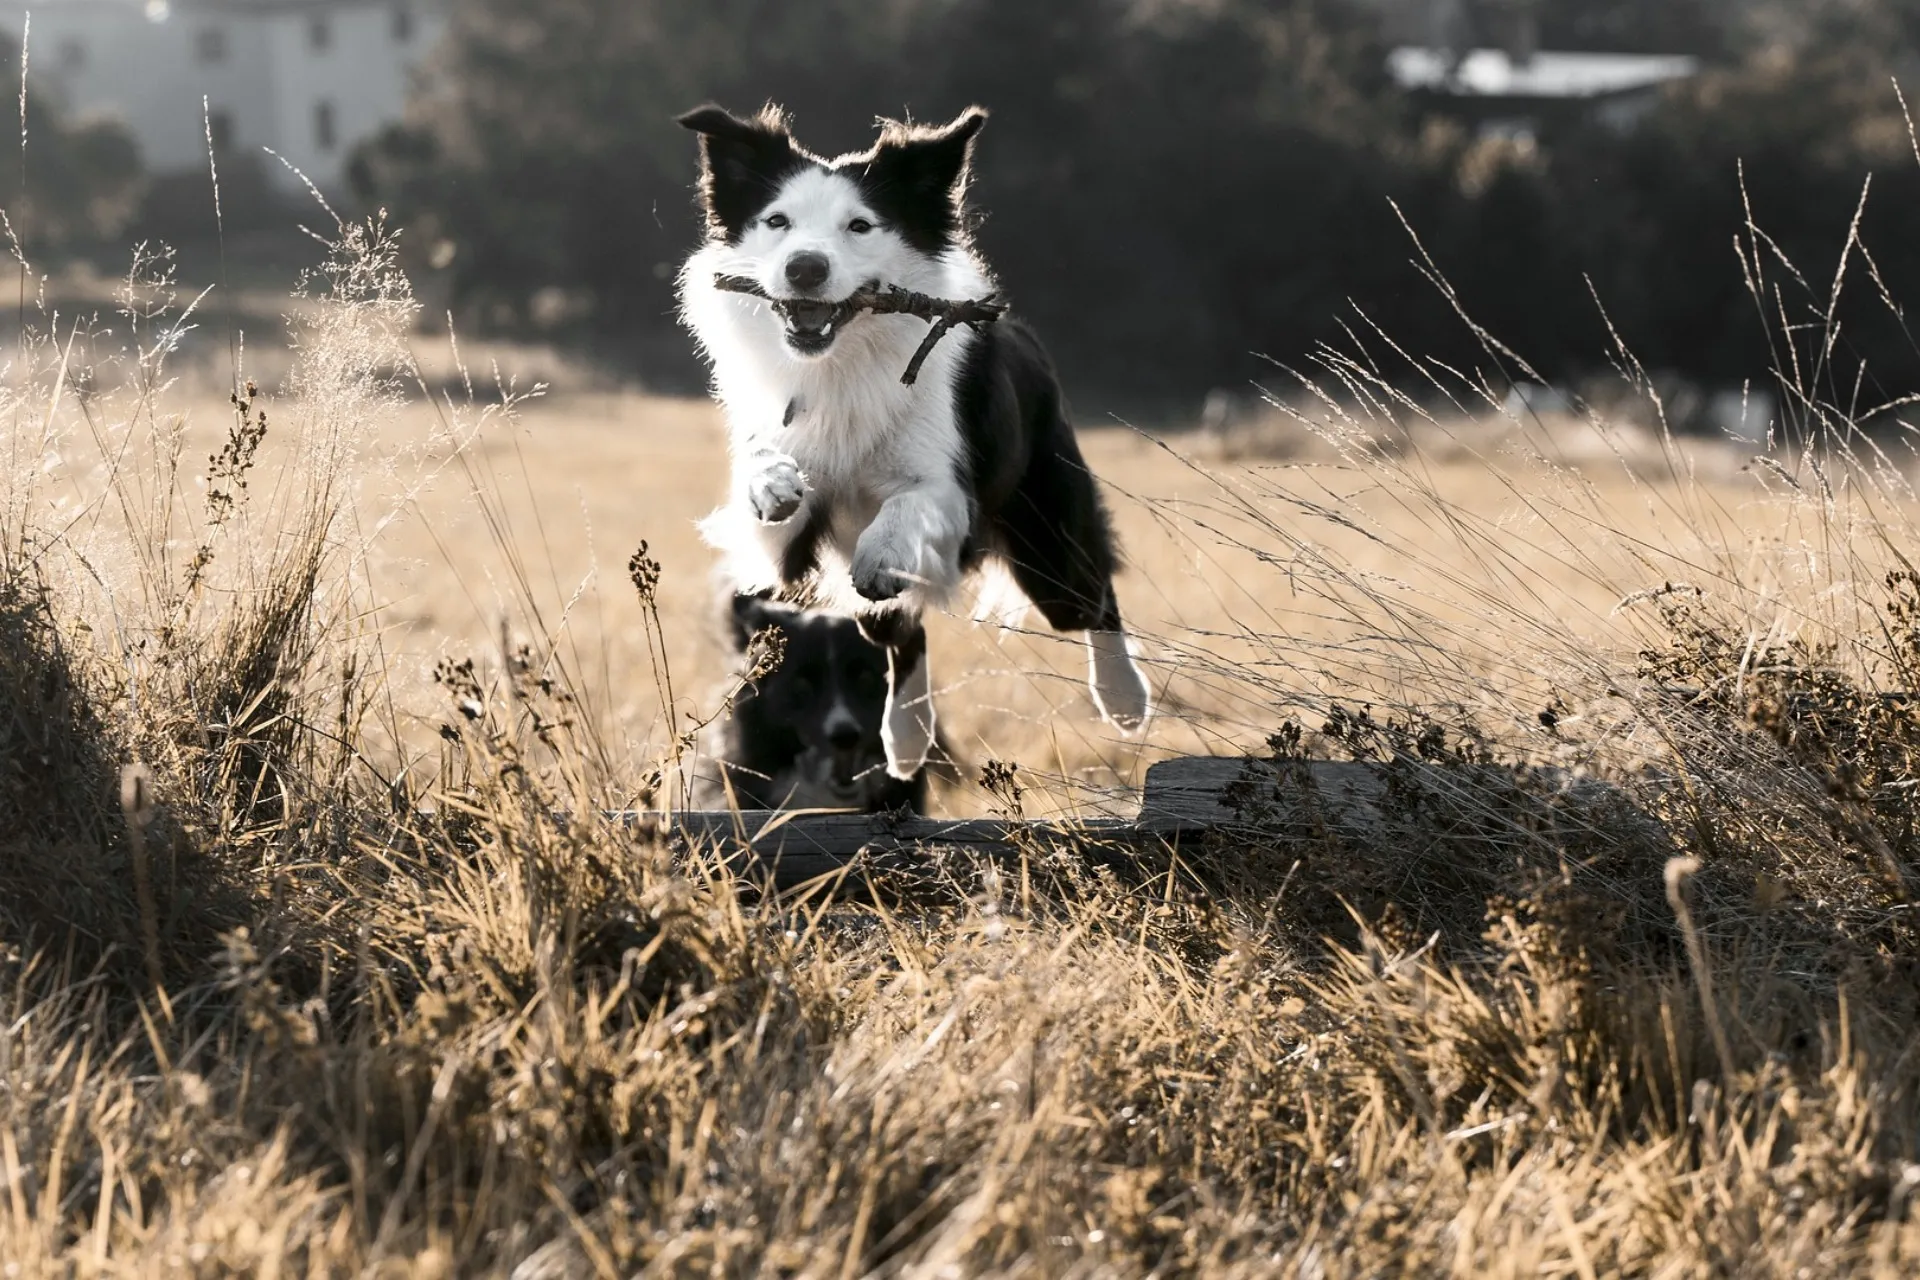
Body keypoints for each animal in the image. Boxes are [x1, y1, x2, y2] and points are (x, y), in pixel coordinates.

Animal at [683, 102, 1144, 782]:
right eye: (777, 221)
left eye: (860, 225)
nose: (805, 267)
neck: (841, 361)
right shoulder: (783, 542)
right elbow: (766, 486)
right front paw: (774, 483)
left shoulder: (952, 491)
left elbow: (908, 501)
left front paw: (881, 548)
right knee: (900, 635)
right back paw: (906, 738)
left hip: (1048, 537)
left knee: (1091, 595)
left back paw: (1125, 700)